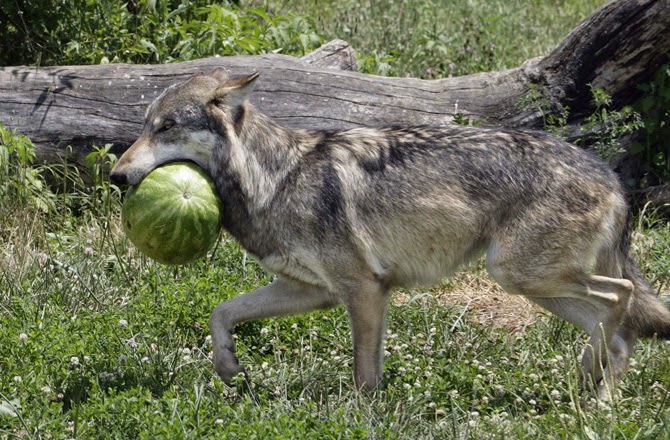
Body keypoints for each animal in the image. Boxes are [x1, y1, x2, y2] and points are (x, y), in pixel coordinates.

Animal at [110, 68, 670, 399]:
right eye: (144, 125)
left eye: (165, 128)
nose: (115, 176)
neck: (277, 177)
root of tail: (610, 176)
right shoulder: (312, 291)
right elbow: (220, 311)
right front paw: (228, 368)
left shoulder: (364, 290)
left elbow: (364, 376)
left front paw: (362, 418)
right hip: (533, 284)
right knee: (620, 336)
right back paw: (595, 398)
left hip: (521, 275)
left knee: (620, 298)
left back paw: (593, 386)